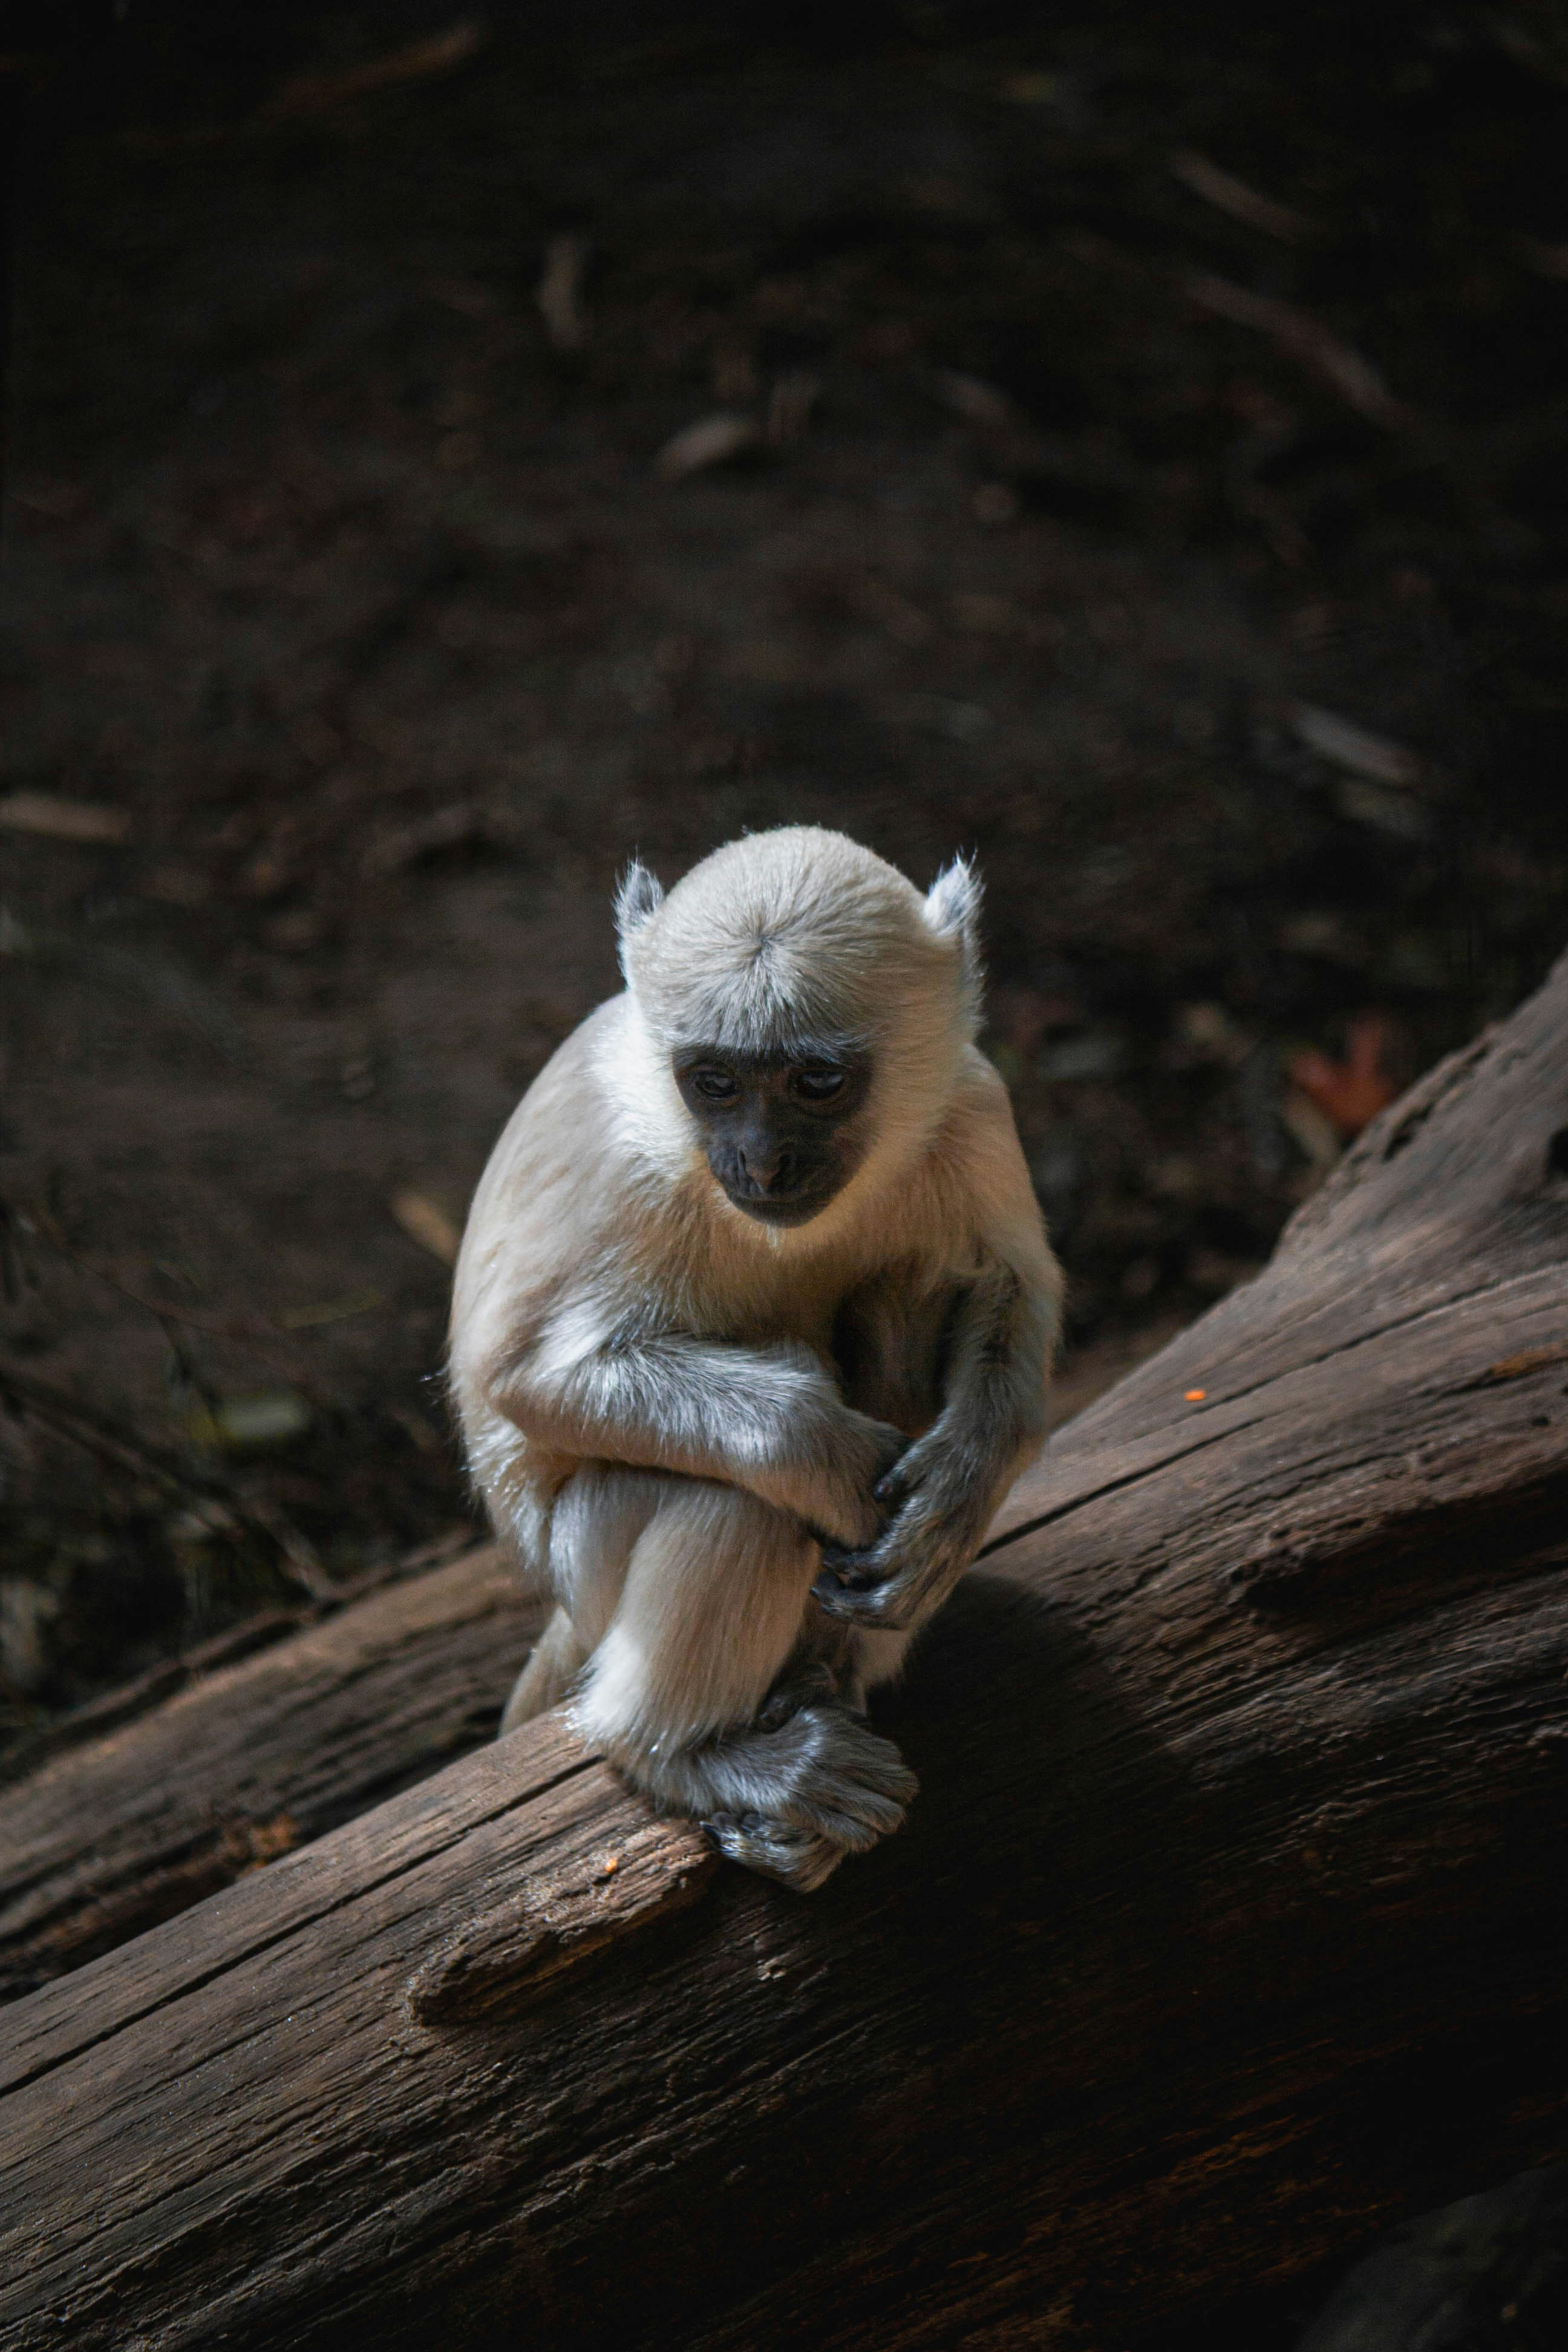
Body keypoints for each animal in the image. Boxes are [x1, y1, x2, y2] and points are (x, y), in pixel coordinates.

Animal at [448, 827, 1062, 1891]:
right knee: (745, 1504)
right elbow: (522, 1377)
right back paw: (688, 1754)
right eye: (716, 1083)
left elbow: (1011, 1292)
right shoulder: (625, 1161)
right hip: (585, 1561)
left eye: (815, 1082)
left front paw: (954, 1501)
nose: (765, 1163)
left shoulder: (972, 1108)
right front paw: (827, 1455)